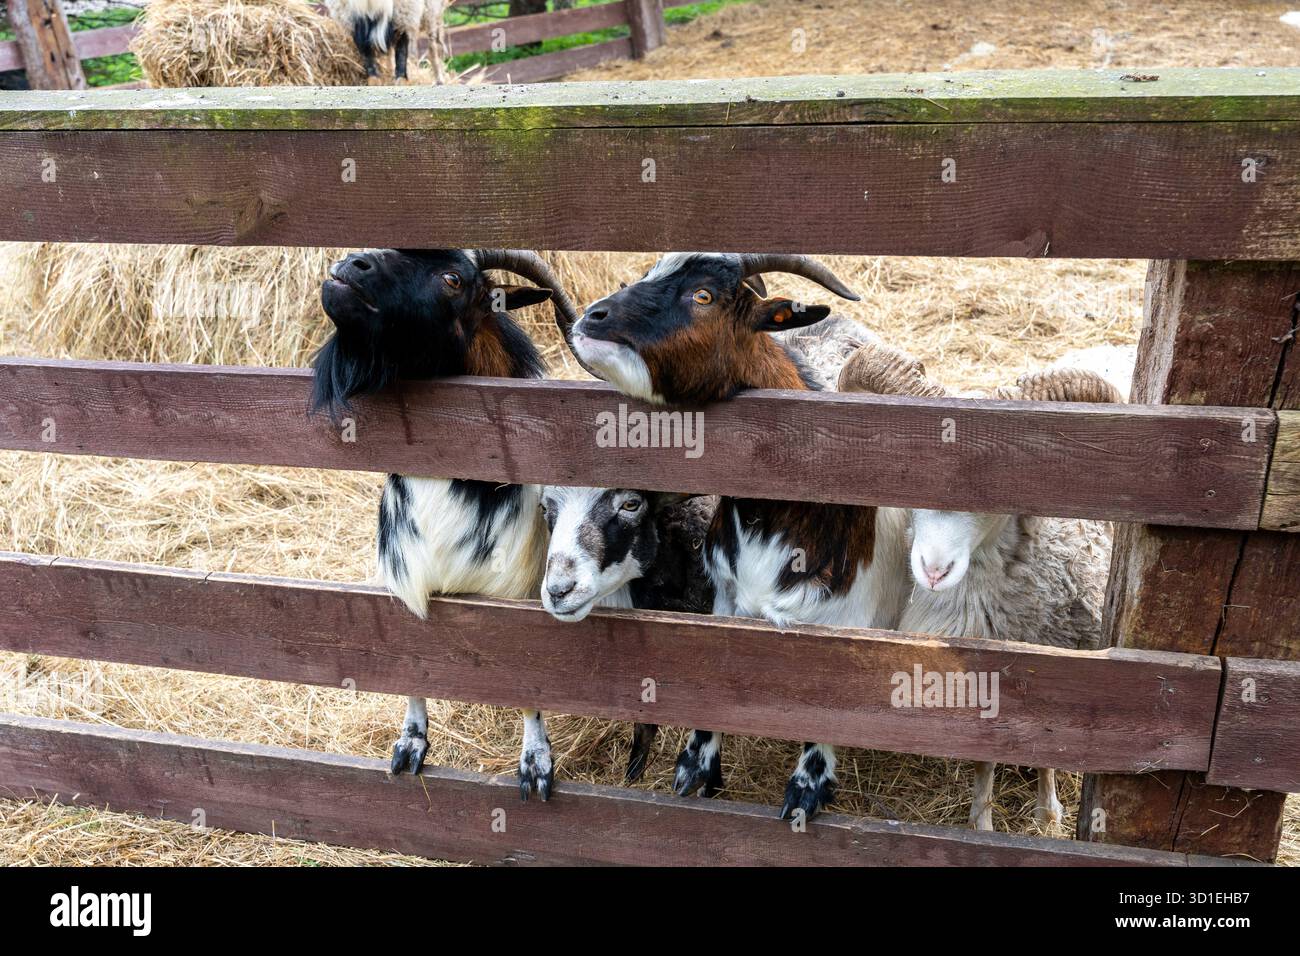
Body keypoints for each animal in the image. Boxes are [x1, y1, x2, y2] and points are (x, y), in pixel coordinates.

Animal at [312, 247, 580, 801]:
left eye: (453, 278)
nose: (352, 263)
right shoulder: (406, 581)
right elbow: (416, 666)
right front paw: (410, 744)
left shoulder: (521, 599)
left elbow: (532, 684)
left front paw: (535, 763)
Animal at [569, 253, 912, 819]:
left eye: (704, 295)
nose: (590, 318)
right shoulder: (726, 600)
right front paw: (695, 764)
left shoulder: (846, 625)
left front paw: (807, 788)